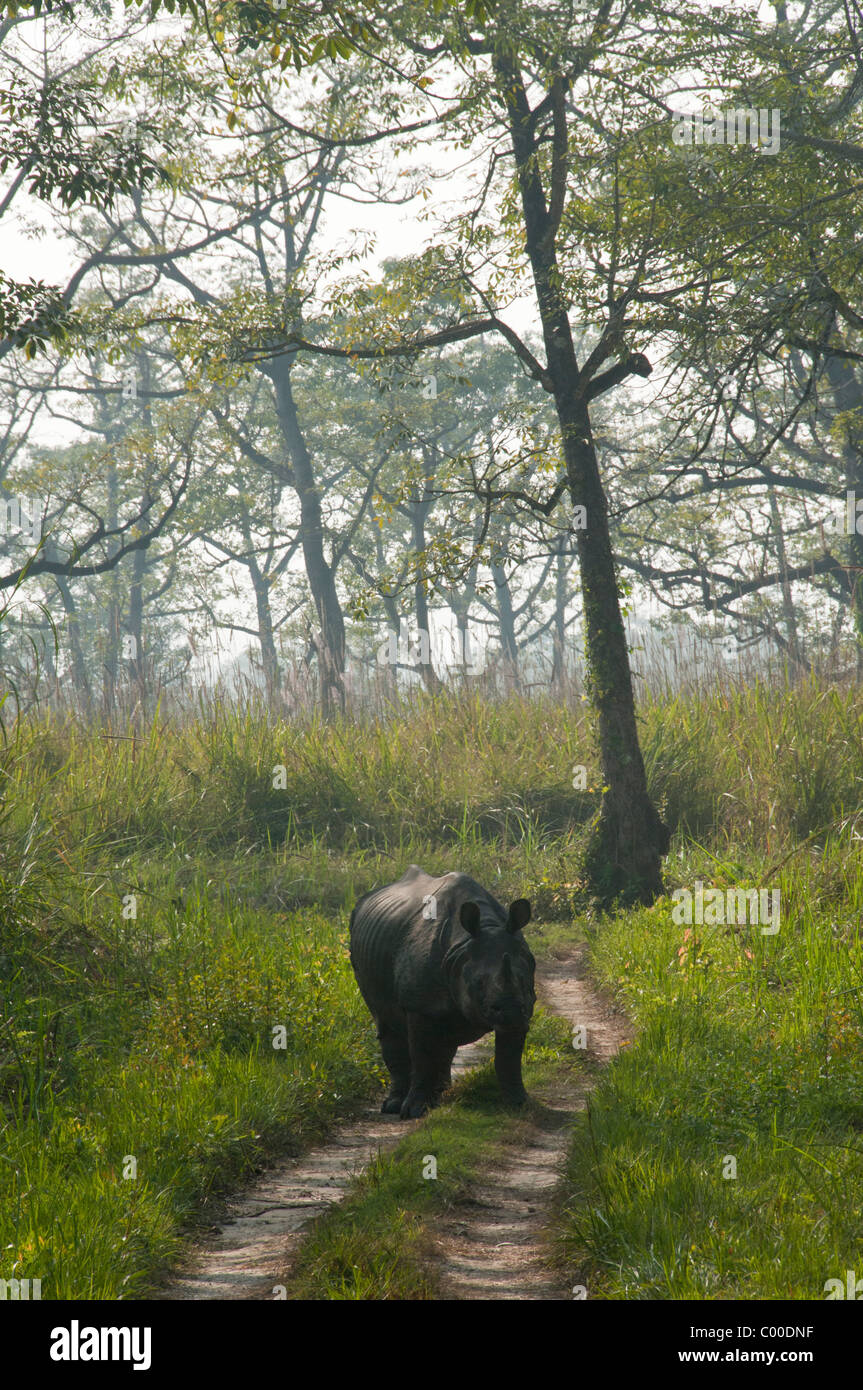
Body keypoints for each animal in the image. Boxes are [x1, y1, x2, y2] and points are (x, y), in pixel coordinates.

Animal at [349, 865, 535, 1118]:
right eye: (478, 983)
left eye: (525, 979)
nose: (509, 1011)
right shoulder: (419, 1005)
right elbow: (423, 1054)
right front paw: (414, 1110)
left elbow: (510, 1057)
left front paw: (519, 1103)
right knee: (386, 1024)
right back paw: (395, 1106)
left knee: (446, 1040)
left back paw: (440, 1096)